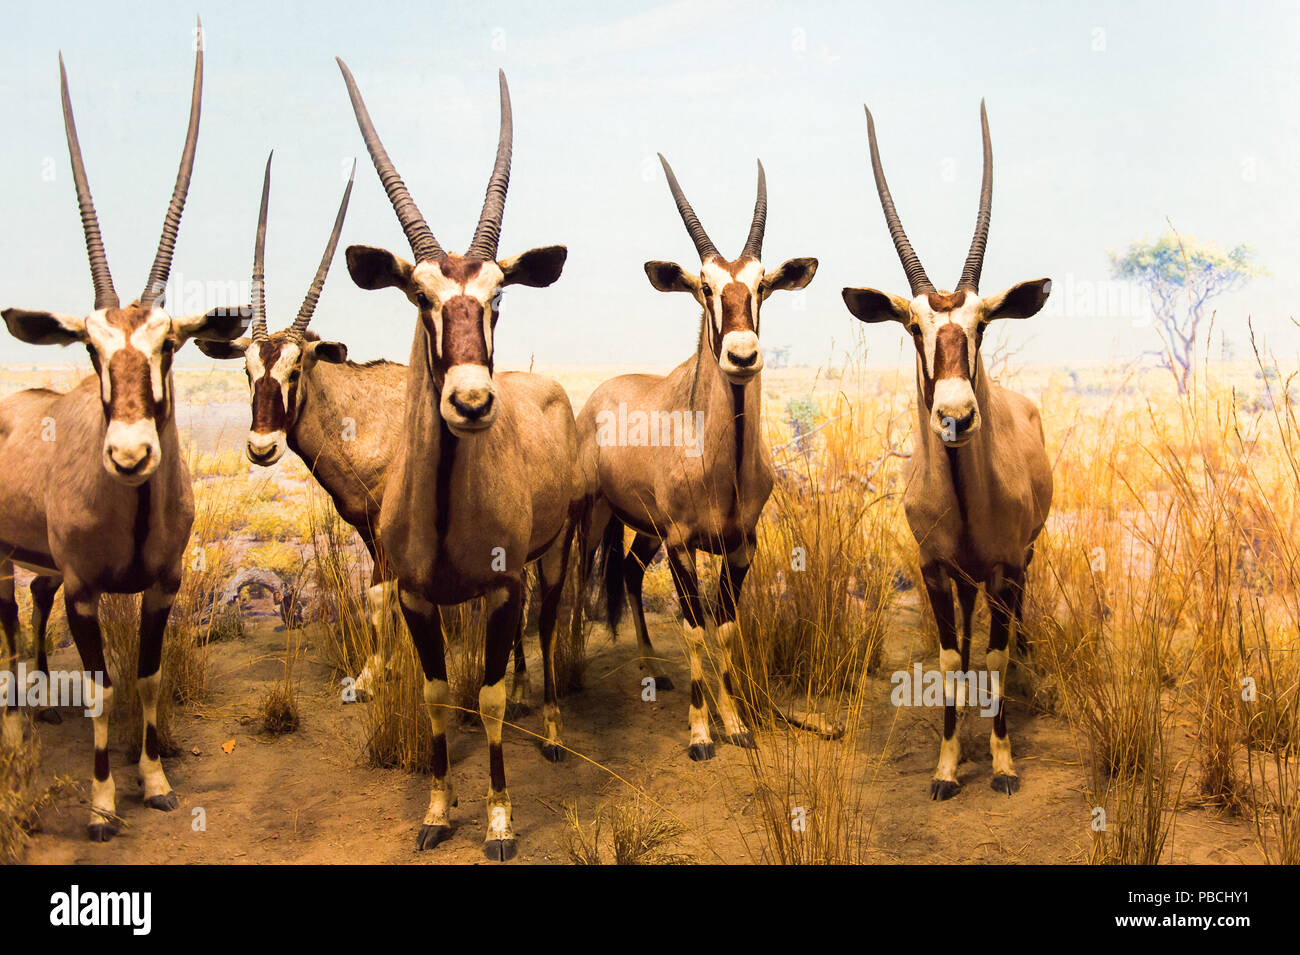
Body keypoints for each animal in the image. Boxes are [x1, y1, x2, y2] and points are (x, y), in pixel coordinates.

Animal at [0, 35, 249, 840]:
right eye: (90, 346)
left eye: (169, 344)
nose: (132, 454)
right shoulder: (86, 592)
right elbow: (105, 686)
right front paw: (104, 804)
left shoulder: (161, 585)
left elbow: (145, 676)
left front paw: (157, 780)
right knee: (8, 621)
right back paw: (18, 718)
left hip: (43, 567)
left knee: (31, 606)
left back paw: (41, 706)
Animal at [338, 60, 578, 859]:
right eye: (420, 296)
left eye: (497, 299)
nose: (471, 402)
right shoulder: (415, 598)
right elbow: (440, 695)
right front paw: (439, 811)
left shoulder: (504, 589)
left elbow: (492, 695)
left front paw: (500, 821)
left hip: (553, 556)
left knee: (547, 631)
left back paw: (555, 733)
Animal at [577, 156, 818, 761]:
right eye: (704, 286)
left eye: (763, 285)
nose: (742, 355)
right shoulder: (683, 545)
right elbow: (691, 626)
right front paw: (702, 732)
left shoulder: (741, 545)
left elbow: (725, 627)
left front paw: (737, 724)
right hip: (596, 521)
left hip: (645, 531)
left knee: (630, 572)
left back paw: (652, 670)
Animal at [841, 103, 1053, 798]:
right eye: (914, 326)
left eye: (982, 323)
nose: (956, 416)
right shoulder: (933, 567)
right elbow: (952, 653)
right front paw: (947, 765)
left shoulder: (1007, 568)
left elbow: (996, 653)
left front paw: (1004, 763)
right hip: (962, 577)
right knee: (962, 627)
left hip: (1019, 562)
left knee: (1011, 631)